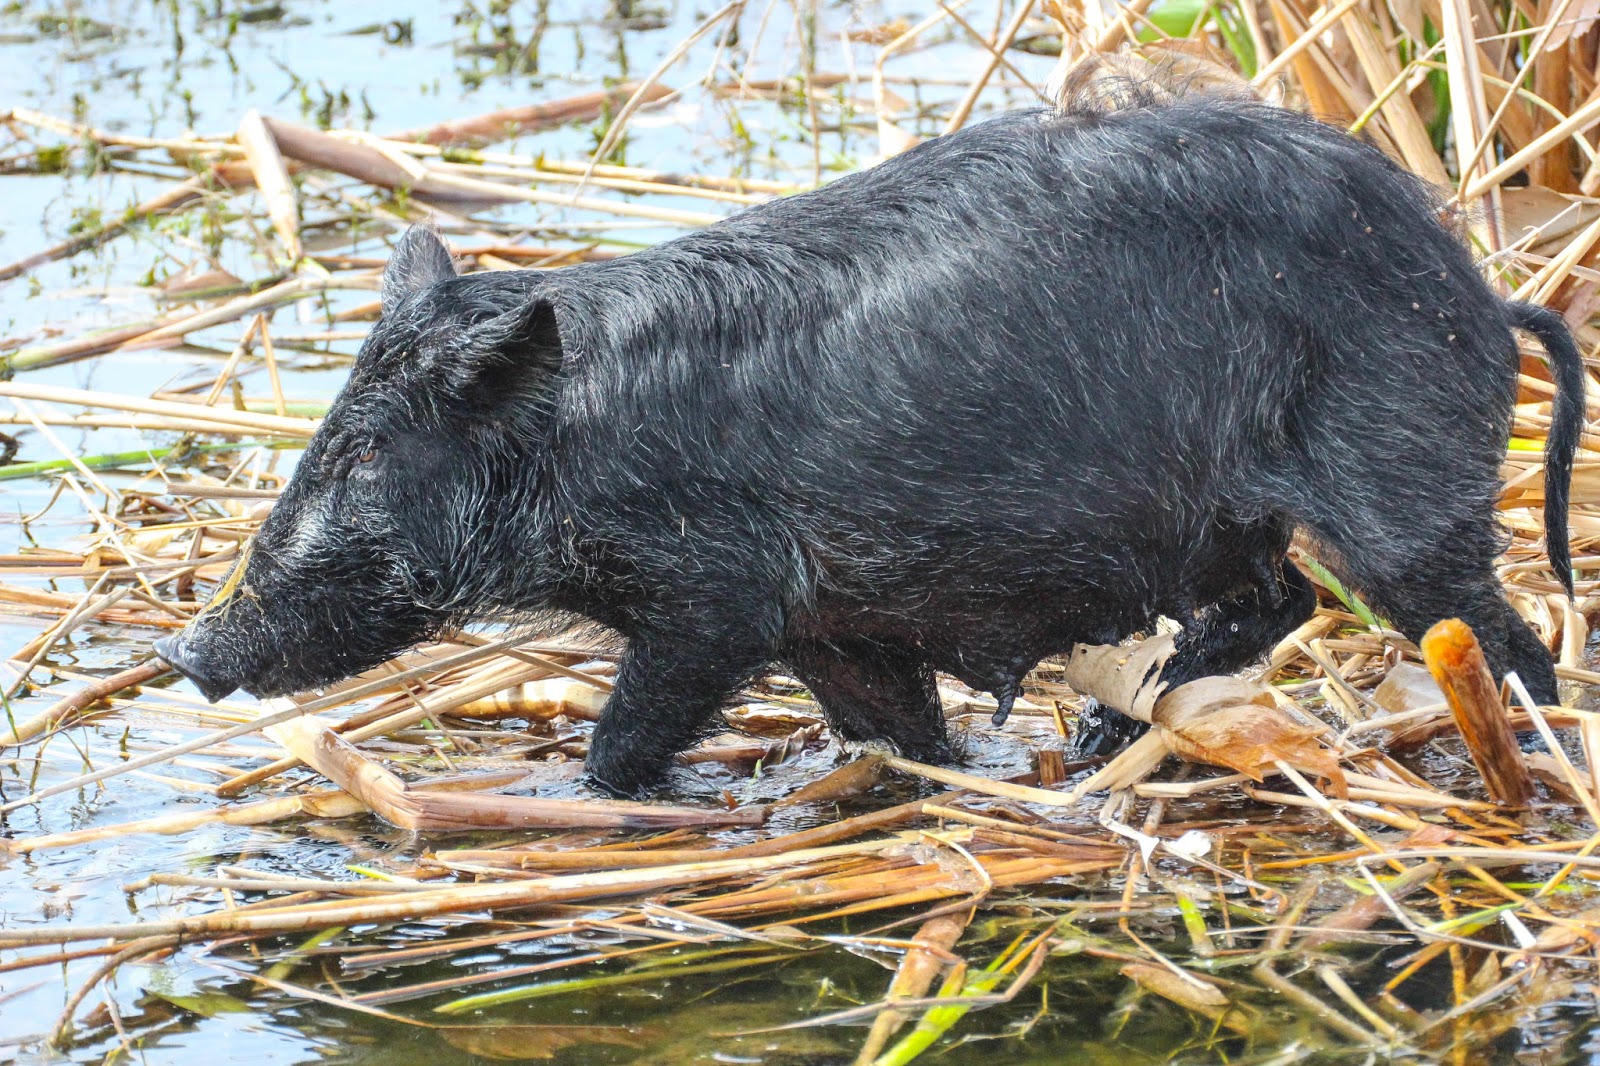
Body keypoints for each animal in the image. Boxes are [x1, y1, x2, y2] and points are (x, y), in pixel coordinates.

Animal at [156, 88, 1585, 797]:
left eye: (360, 456)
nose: (184, 648)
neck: (583, 445)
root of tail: (1487, 300)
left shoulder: (718, 595)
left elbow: (629, 737)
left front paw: (598, 801)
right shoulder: (835, 624)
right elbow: (901, 734)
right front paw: (941, 779)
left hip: (1401, 488)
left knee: (1495, 635)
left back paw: (1540, 765)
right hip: (1224, 524)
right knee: (1279, 599)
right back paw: (1100, 742)